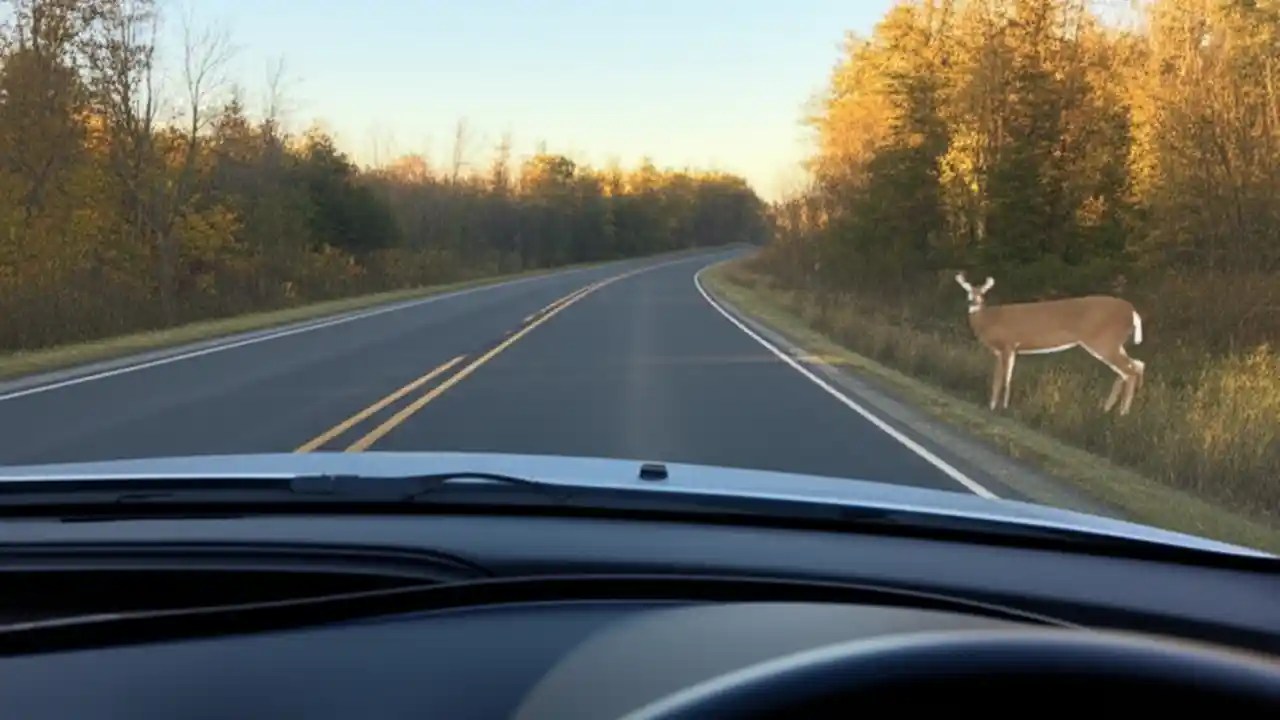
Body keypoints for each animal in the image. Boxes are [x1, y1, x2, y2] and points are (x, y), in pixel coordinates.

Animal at [954, 273, 1146, 415]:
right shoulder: (1006, 350)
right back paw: (1108, 411)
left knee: (1130, 371)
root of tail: (1133, 312)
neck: (989, 320)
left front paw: (998, 406)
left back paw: (1121, 415)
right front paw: (997, 405)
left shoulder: (1008, 344)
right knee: (1136, 365)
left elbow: (1004, 378)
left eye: (983, 292)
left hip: (1103, 340)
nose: (973, 302)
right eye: (968, 291)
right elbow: (1001, 376)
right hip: (1115, 343)